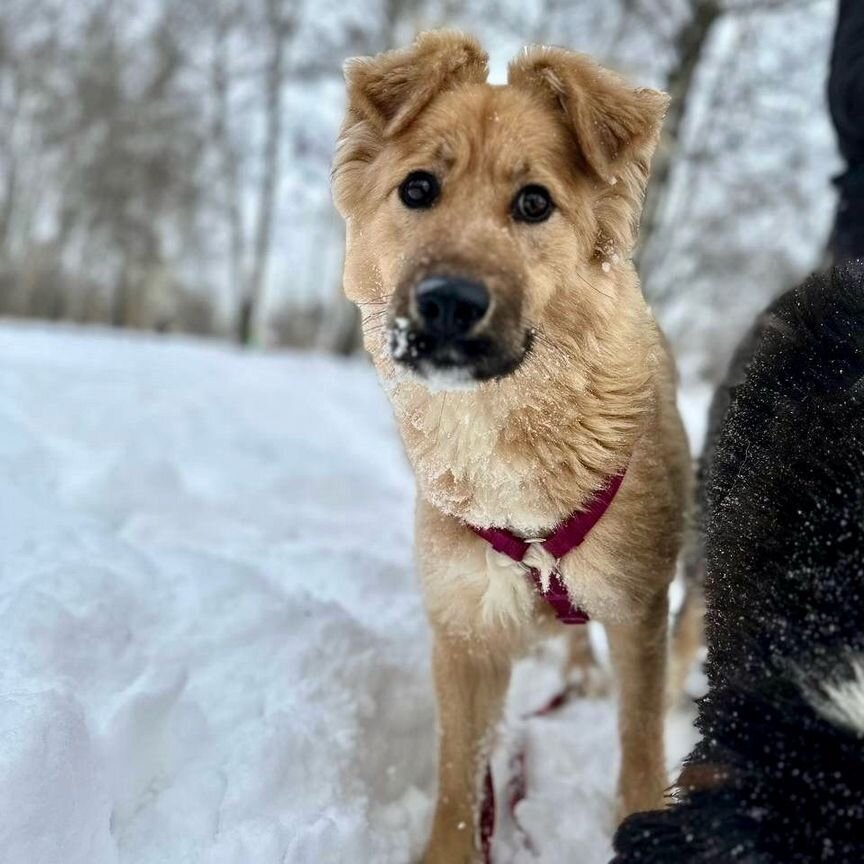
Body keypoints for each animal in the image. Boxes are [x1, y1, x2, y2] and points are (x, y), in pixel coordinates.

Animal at [330, 30, 688, 860]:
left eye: (534, 203)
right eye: (418, 188)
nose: (448, 304)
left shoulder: (638, 608)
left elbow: (640, 747)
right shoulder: (465, 633)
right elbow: (459, 780)